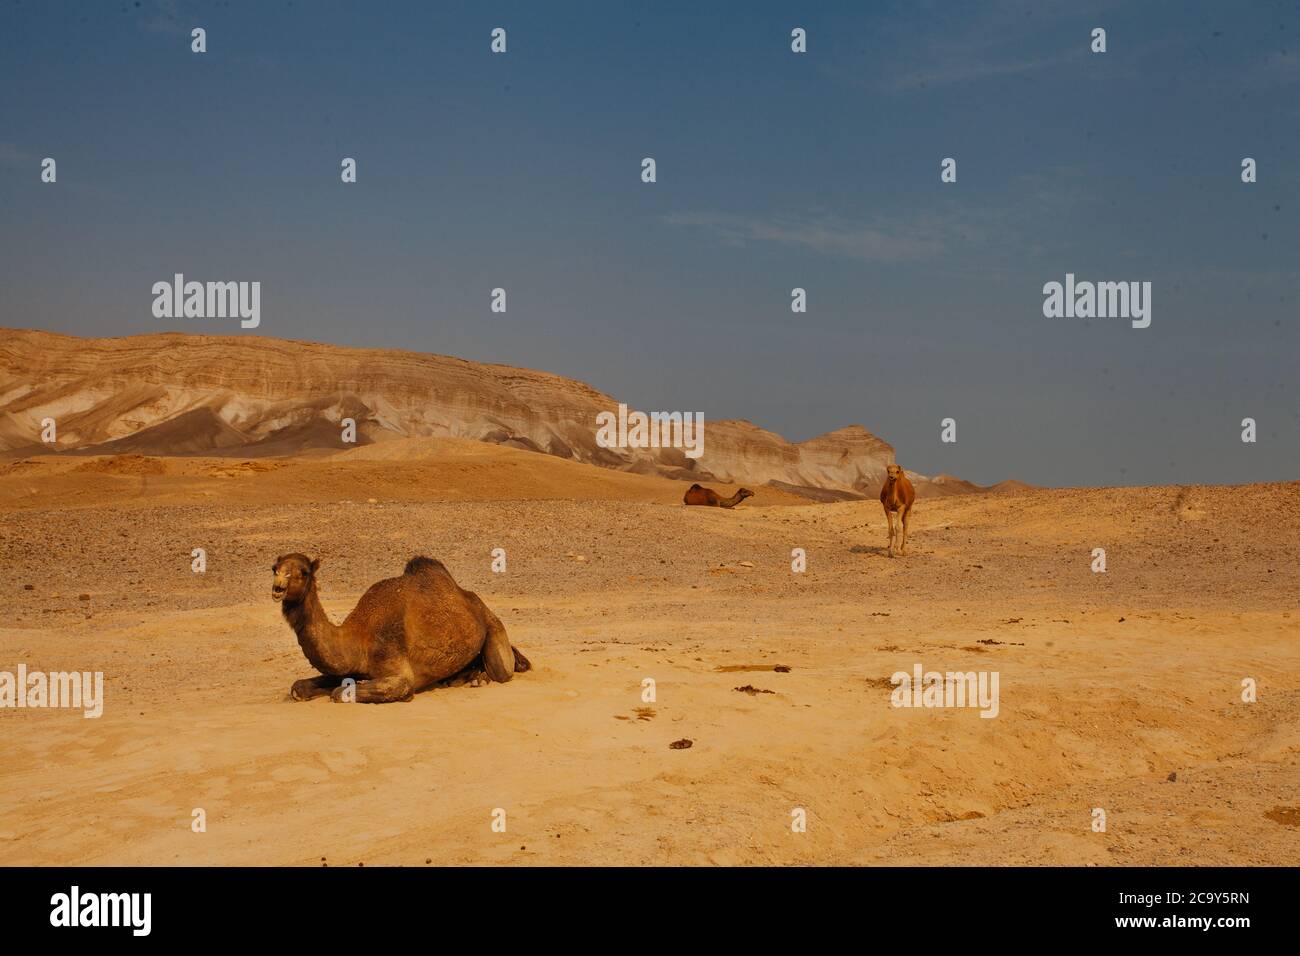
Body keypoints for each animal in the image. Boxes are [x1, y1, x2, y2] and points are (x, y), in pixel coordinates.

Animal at [272, 553, 530, 703]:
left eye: (304, 572)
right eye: (274, 568)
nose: (278, 587)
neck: (358, 638)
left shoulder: (398, 670)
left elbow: (340, 692)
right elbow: (299, 687)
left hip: (494, 627)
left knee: (501, 670)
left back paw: (480, 679)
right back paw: (462, 678)